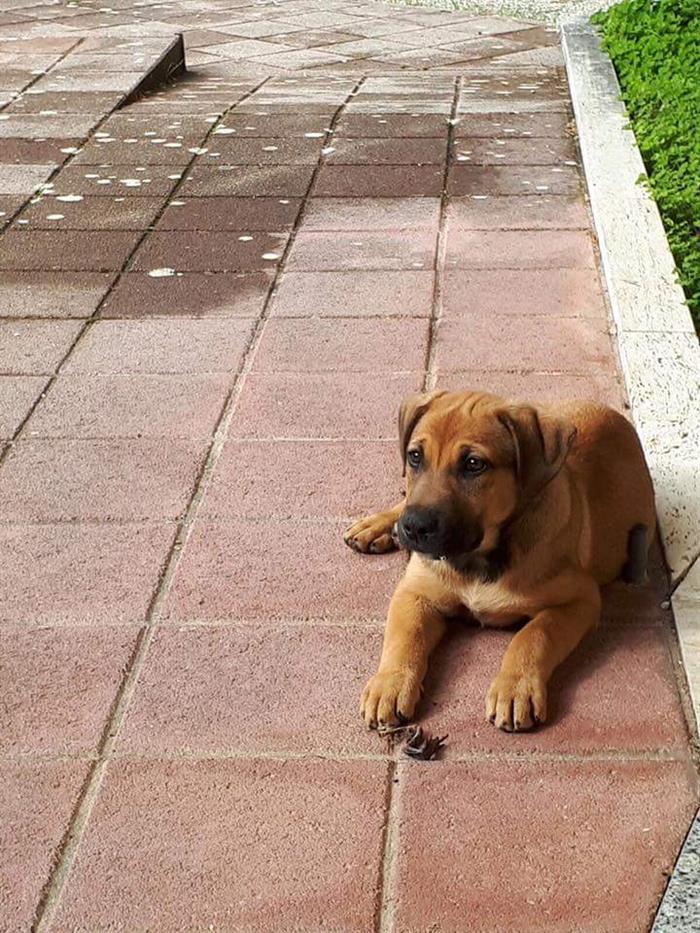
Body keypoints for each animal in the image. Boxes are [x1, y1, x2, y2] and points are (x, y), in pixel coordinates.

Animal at [346, 390, 656, 732]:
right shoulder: (416, 592)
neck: (478, 558)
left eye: (473, 464)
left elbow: (534, 635)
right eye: (415, 457)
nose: (414, 528)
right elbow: (404, 637)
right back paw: (377, 525)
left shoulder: (580, 598)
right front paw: (389, 684)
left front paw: (516, 689)